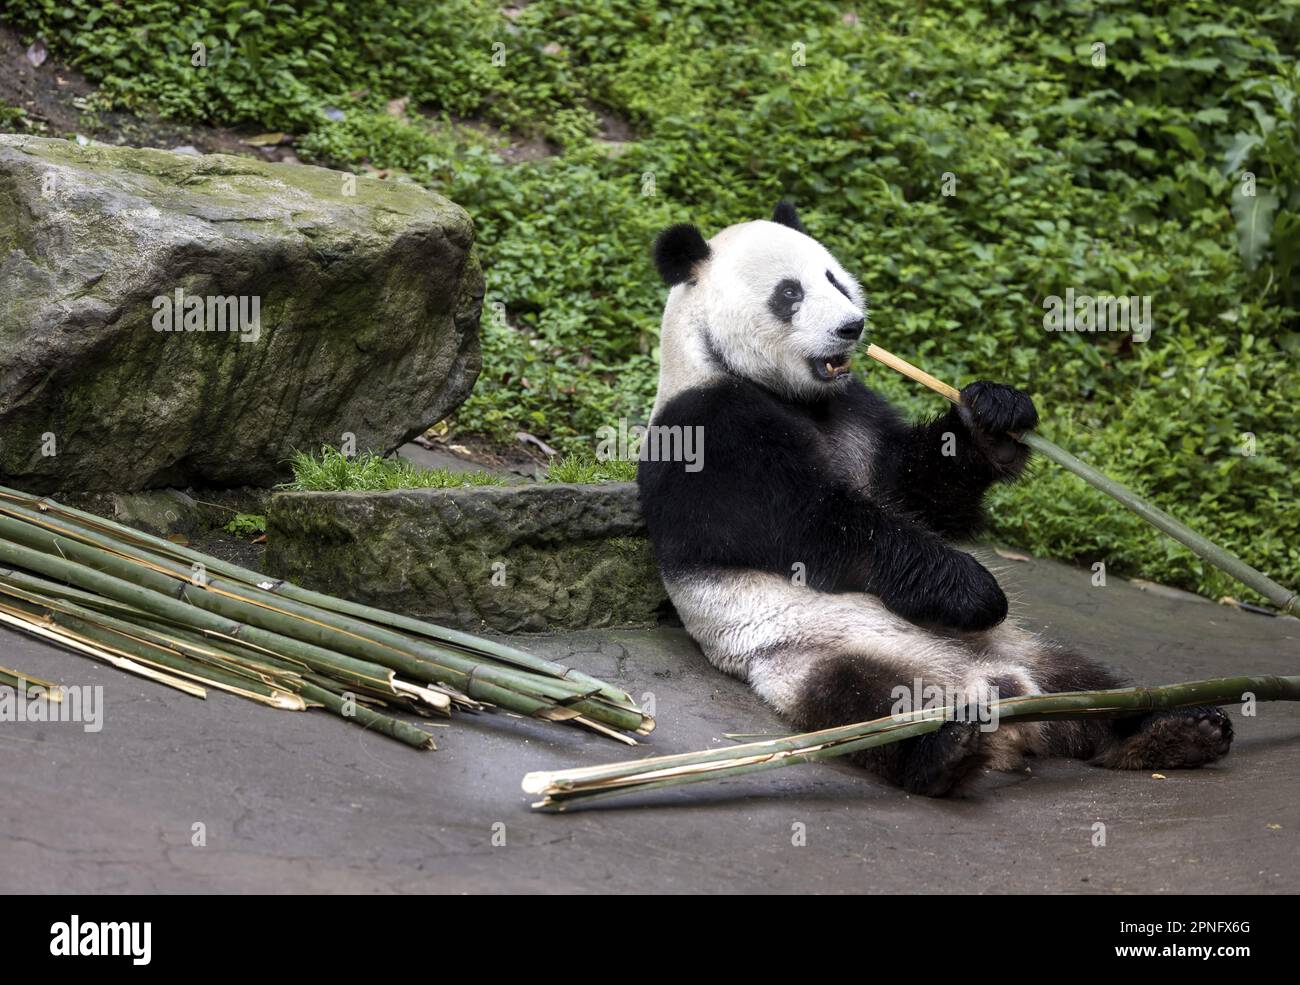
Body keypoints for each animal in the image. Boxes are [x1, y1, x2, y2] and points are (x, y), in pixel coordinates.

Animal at [636, 202, 1234, 796]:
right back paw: (946, 750)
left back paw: (1175, 730)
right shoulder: (711, 431)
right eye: (789, 294)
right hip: (813, 653)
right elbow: (816, 524)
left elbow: (920, 495)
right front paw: (974, 589)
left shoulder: (857, 411)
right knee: (865, 704)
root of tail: (1010, 703)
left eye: (834, 279)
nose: (851, 327)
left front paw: (993, 417)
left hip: (1024, 649)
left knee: (1093, 682)